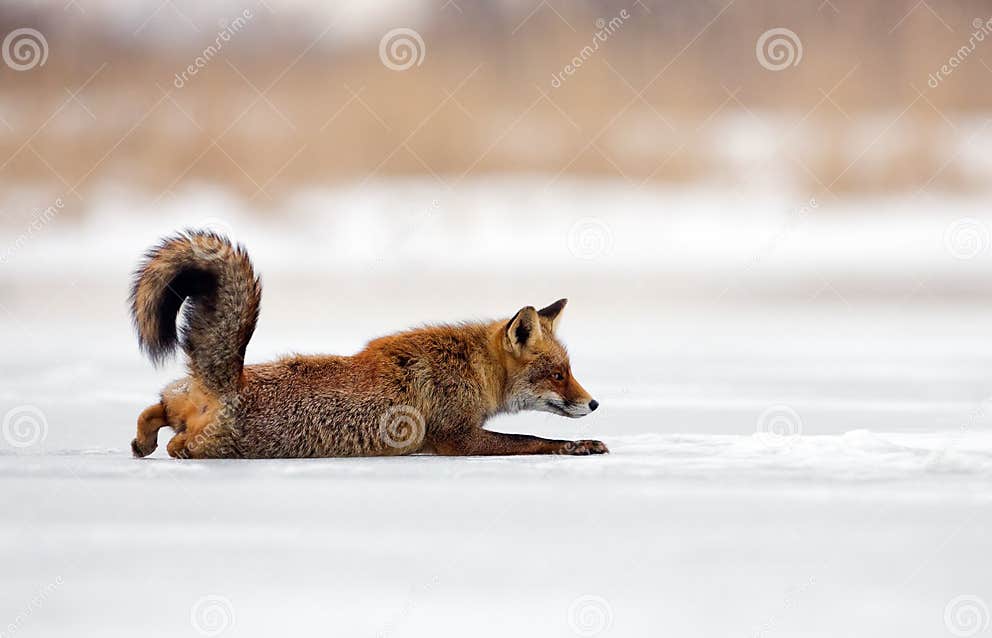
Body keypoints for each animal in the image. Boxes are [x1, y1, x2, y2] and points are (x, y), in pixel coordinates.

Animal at [128, 231, 607, 459]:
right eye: (558, 374)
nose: (594, 403)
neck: (472, 368)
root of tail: (231, 382)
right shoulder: (456, 438)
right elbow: (533, 437)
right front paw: (578, 446)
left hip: (178, 399)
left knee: (157, 408)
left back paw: (141, 440)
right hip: (218, 443)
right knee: (177, 444)